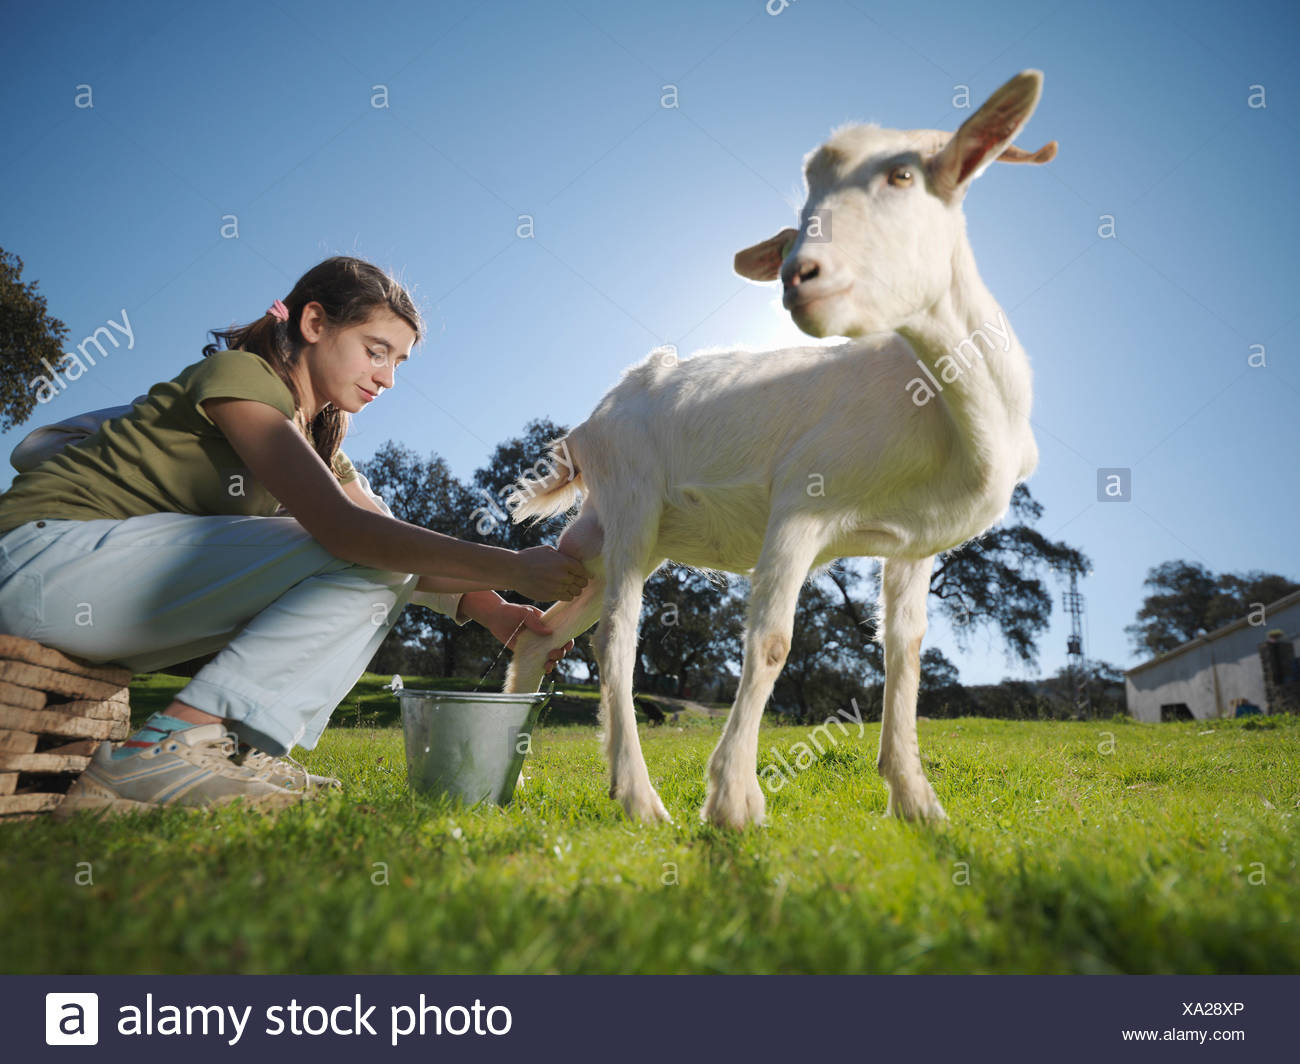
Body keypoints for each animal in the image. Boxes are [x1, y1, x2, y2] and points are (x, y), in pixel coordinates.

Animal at [503, 71, 1057, 829]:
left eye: (902, 174)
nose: (801, 274)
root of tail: (589, 424)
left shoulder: (914, 546)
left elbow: (906, 654)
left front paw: (917, 803)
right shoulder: (801, 504)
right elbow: (771, 642)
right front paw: (734, 800)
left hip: (605, 539)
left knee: (541, 631)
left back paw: (511, 781)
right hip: (633, 502)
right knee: (614, 638)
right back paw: (640, 798)